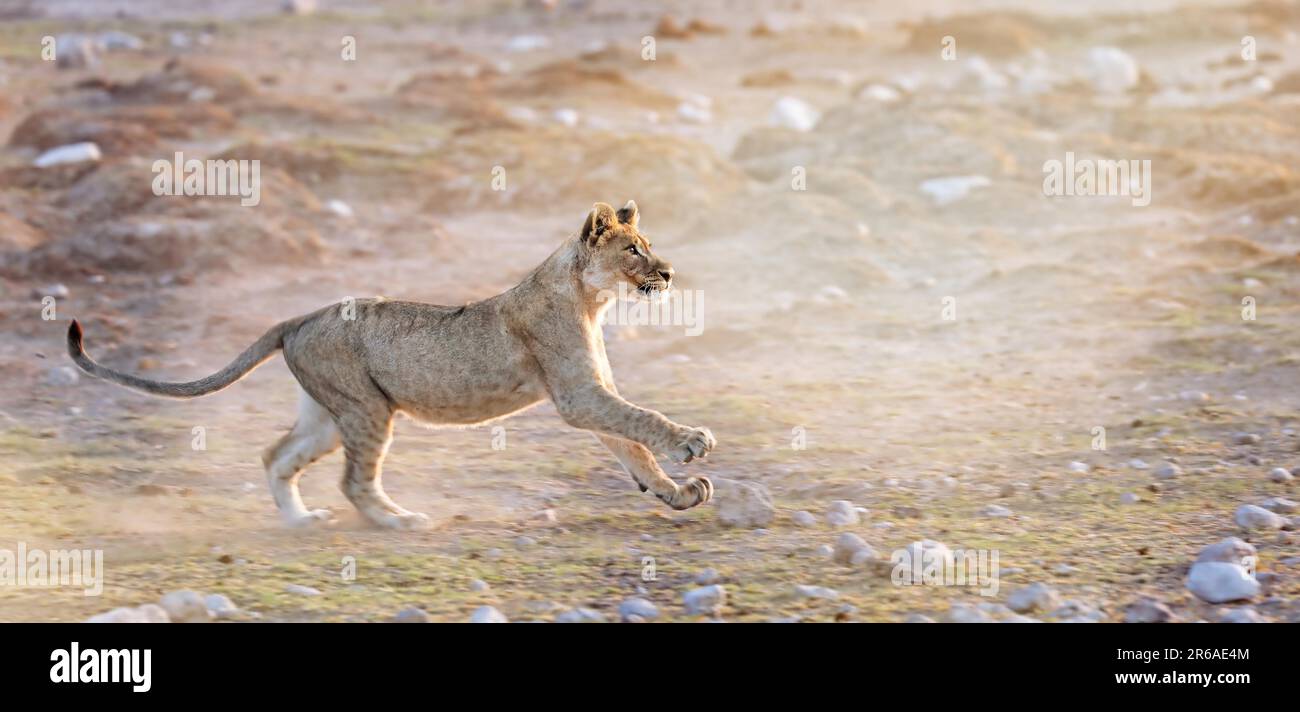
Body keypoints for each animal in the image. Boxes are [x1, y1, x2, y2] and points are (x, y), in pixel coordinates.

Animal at [67, 200, 715, 529]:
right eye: (633, 250)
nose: (669, 272)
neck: (589, 298)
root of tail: (300, 316)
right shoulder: (578, 395)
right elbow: (643, 422)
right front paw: (692, 443)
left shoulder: (589, 392)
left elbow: (631, 447)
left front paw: (677, 493)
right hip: (366, 409)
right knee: (354, 480)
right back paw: (402, 520)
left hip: (330, 414)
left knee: (277, 455)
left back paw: (302, 521)